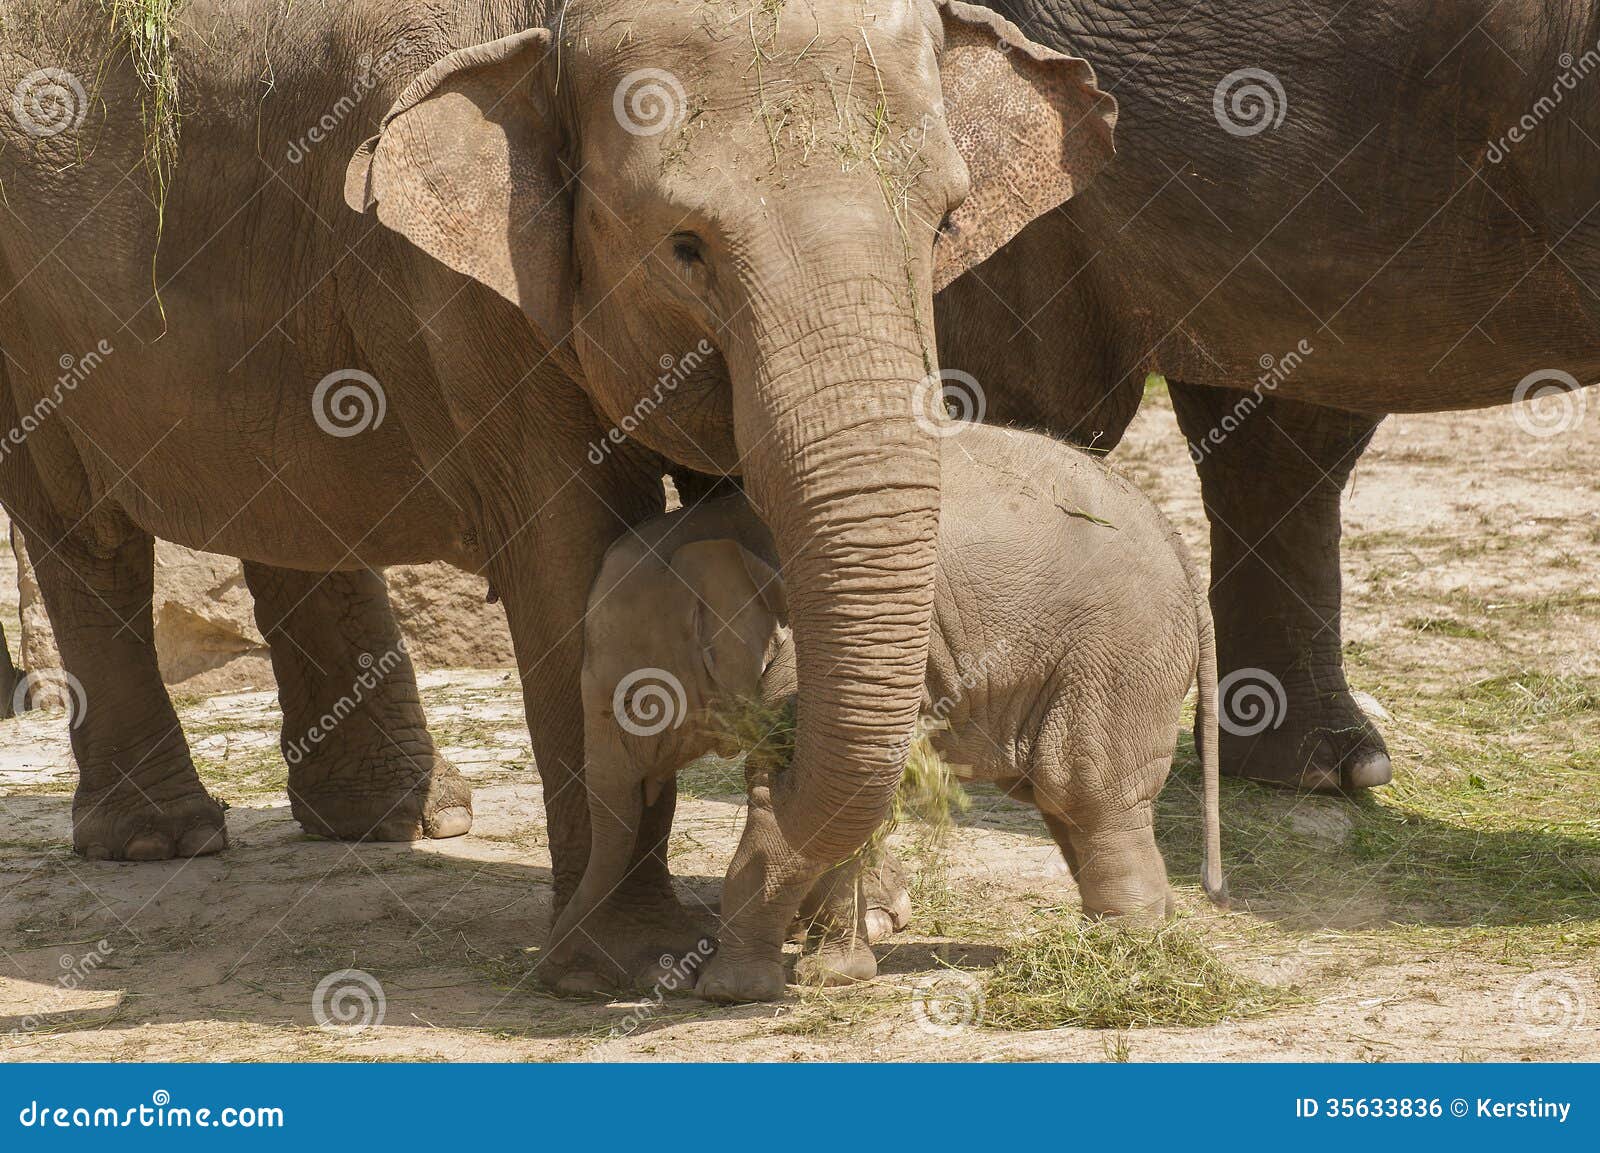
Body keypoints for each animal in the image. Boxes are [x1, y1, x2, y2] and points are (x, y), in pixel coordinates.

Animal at [0, 0, 1113, 999]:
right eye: (684, 247)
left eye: (946, 221)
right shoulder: (471, 283)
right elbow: (566, 551)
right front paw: (629, 962)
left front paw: (855, 922)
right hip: (32, 312)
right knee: (78, 523)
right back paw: (162, 838)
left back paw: (404, 818)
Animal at [558, 421, 1225, 998]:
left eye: (638, 704)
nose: (562, 979)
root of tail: (1180, 548)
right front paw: (836, 972)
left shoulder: (813, 654)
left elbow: (809, 789)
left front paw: (739, 989)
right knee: (1060, 801)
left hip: (1118, 653)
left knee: (1083, 788)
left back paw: (1124, 948)